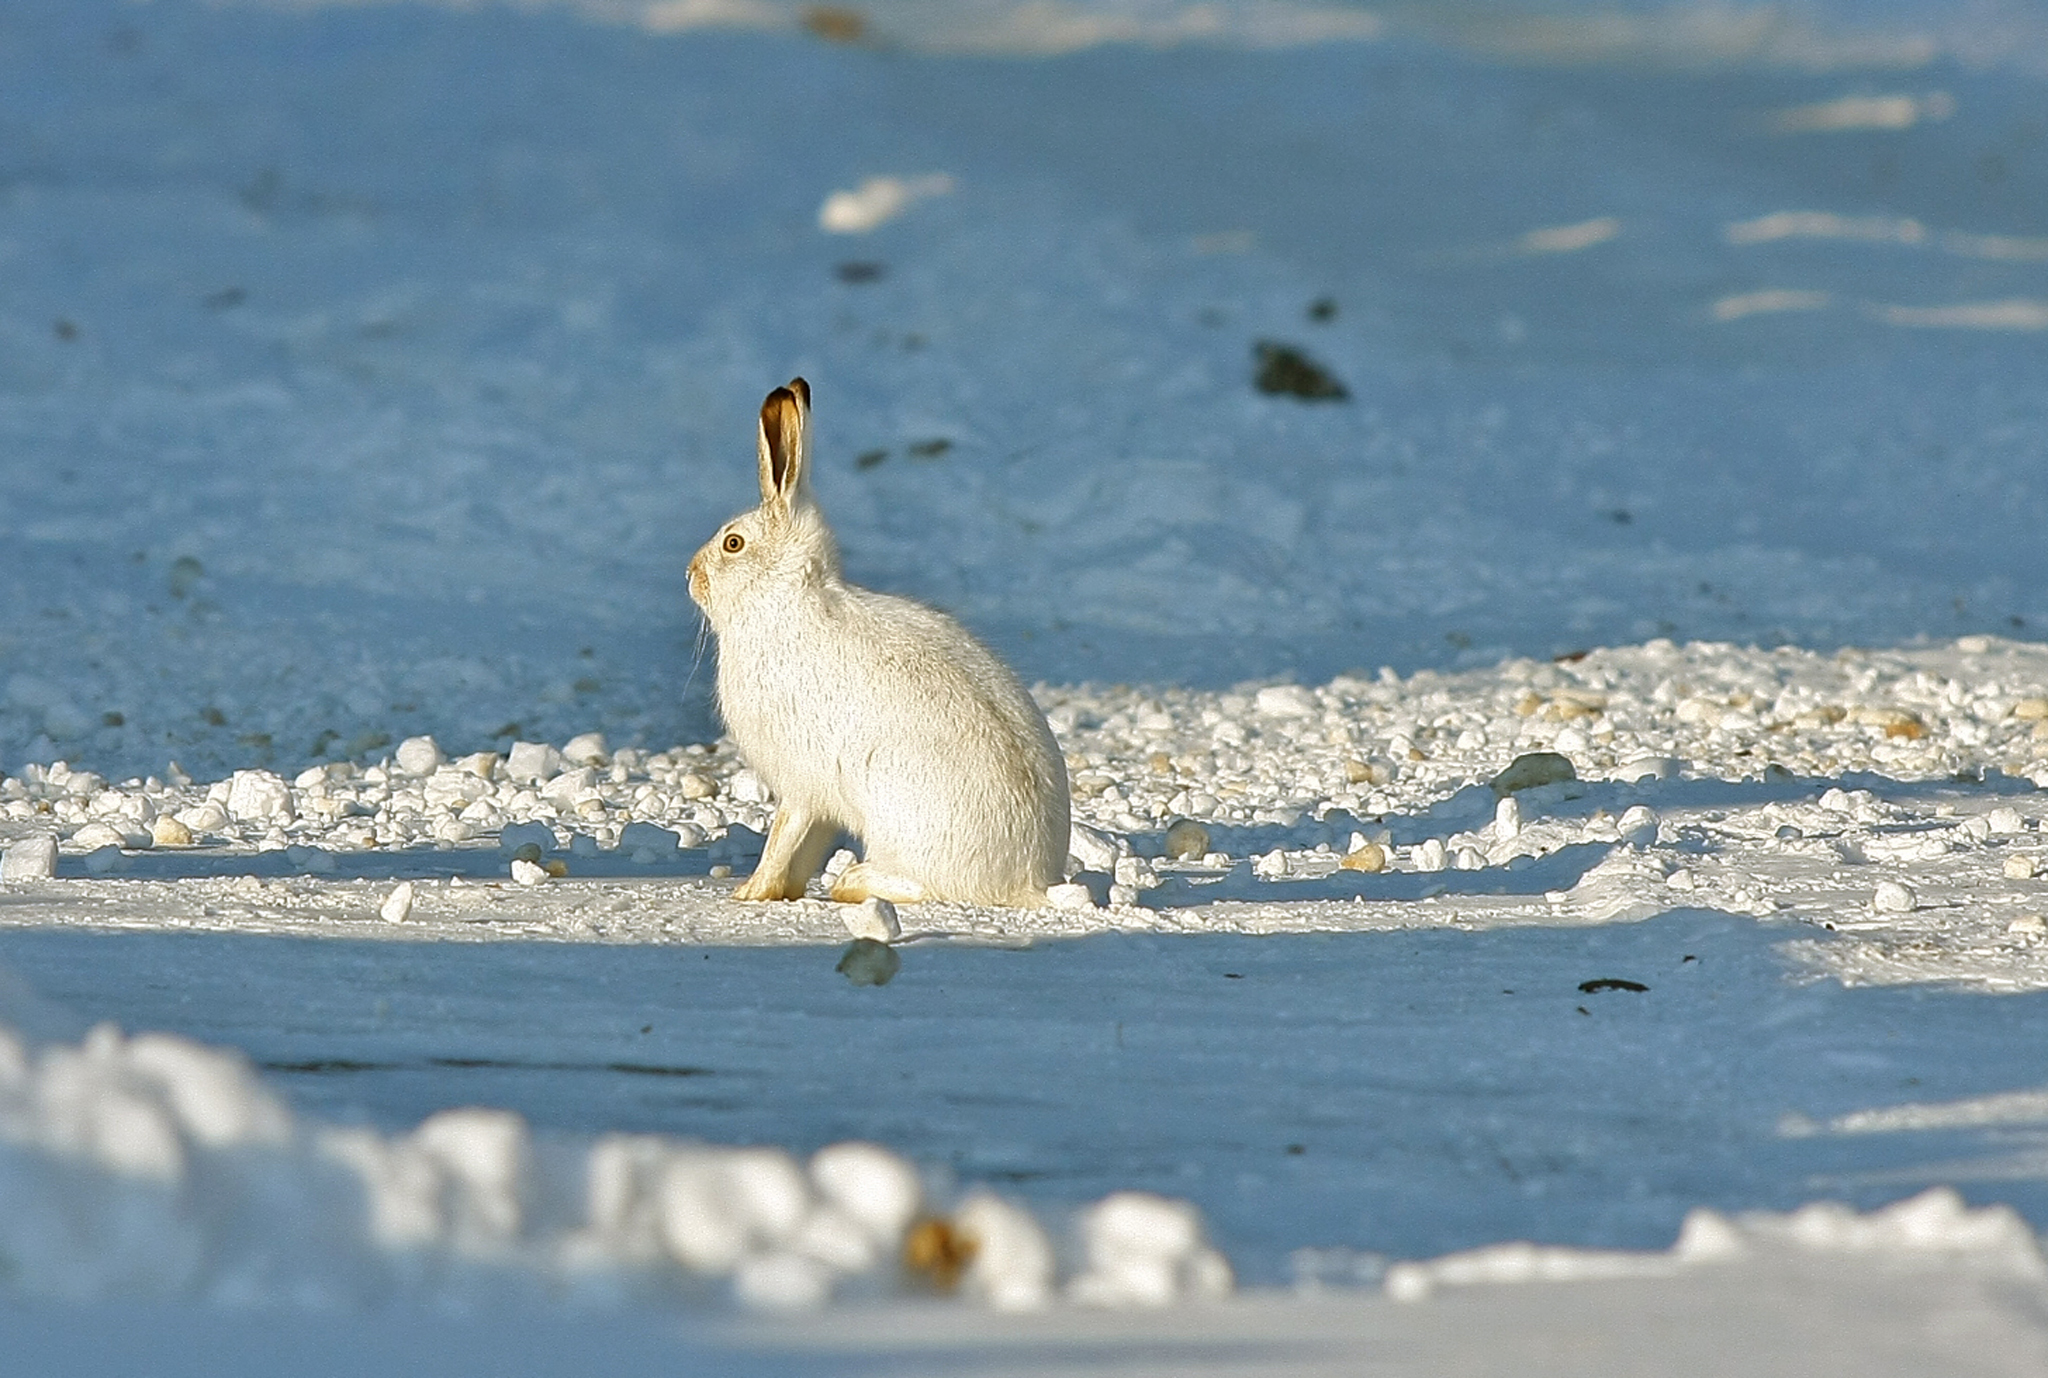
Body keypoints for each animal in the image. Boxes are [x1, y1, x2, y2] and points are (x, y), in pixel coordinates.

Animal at [687, 378, 1071, 907]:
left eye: (733, 544)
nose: (690, 575)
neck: (782, 600)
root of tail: (1026, 882)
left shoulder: (801, 786)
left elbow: (783, 838)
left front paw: (749, 892)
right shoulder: (818, 803)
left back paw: (851, 883)